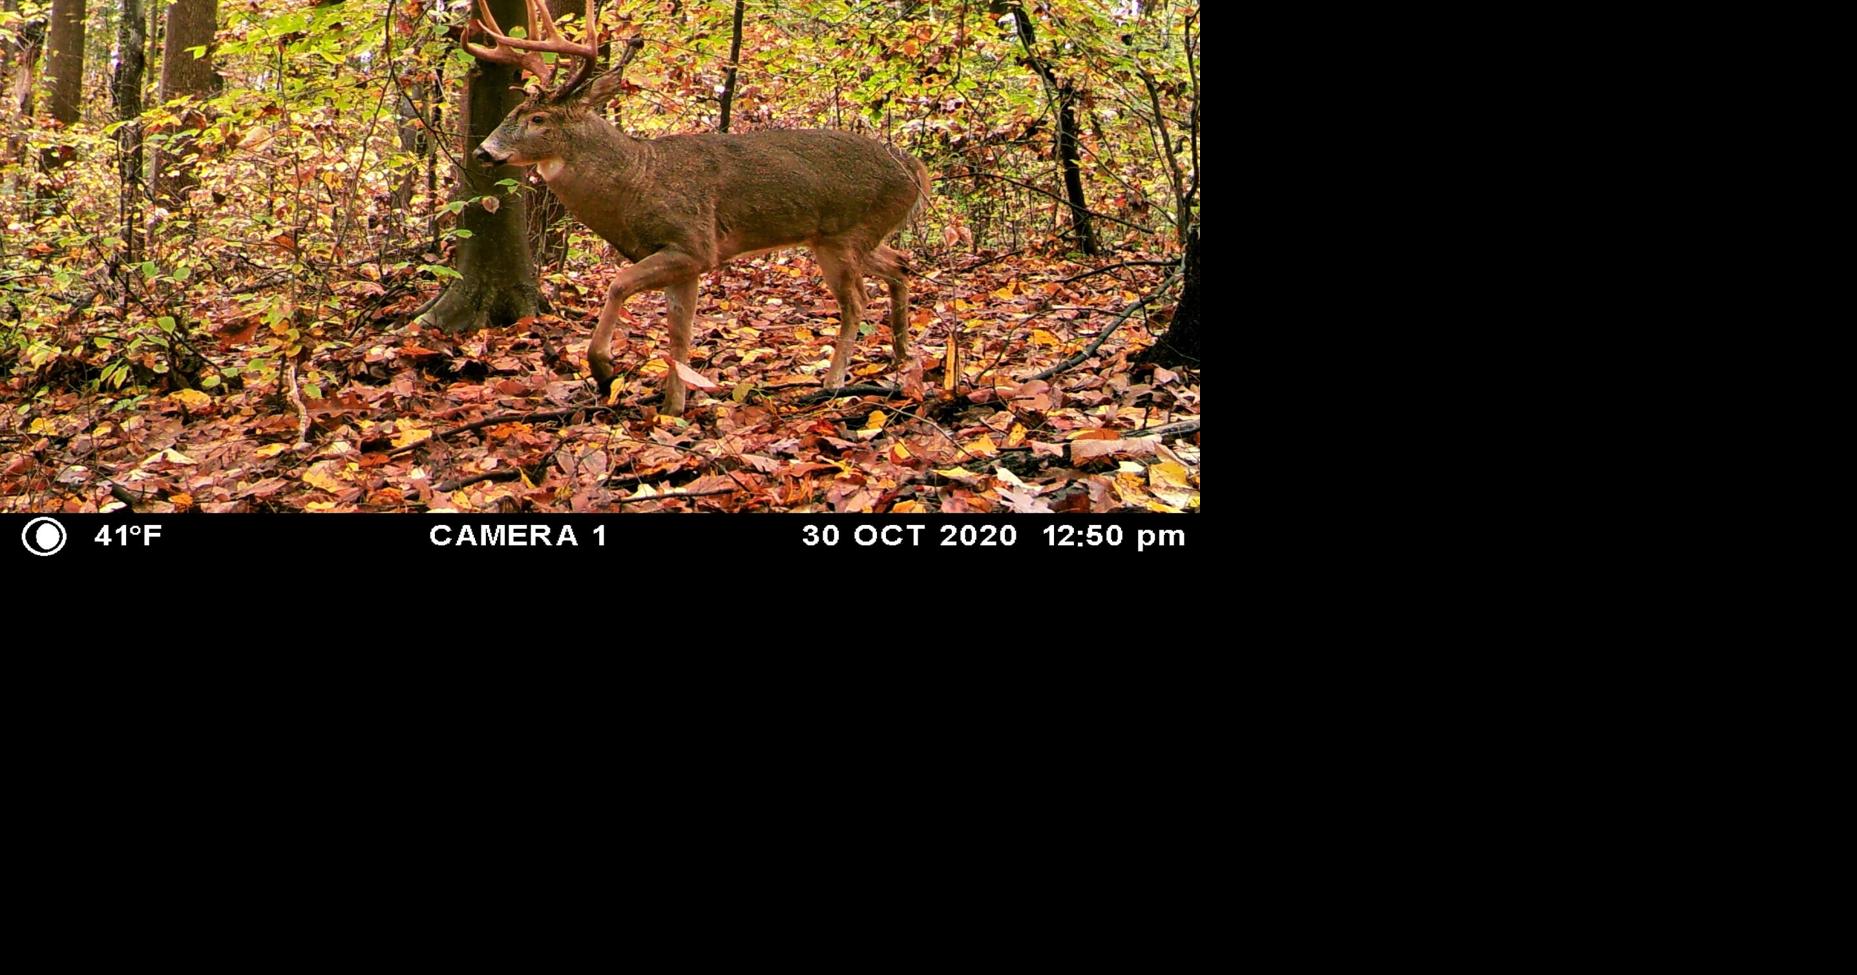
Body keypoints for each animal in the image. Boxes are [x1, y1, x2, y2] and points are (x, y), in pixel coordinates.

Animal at [462, 0, 931, 416]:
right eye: (515, 111)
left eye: (538, 119)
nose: (484, 151)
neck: (636, 181)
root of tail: (913, 168)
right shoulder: (685, 264)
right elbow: (680, 334)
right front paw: (674, 406)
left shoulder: (693, 244)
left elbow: (618, 285)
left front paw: (605, 370)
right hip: (850, 236)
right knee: (900, 263)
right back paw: (902, 355)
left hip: (845, 234)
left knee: (857, 301)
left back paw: (833, 382)